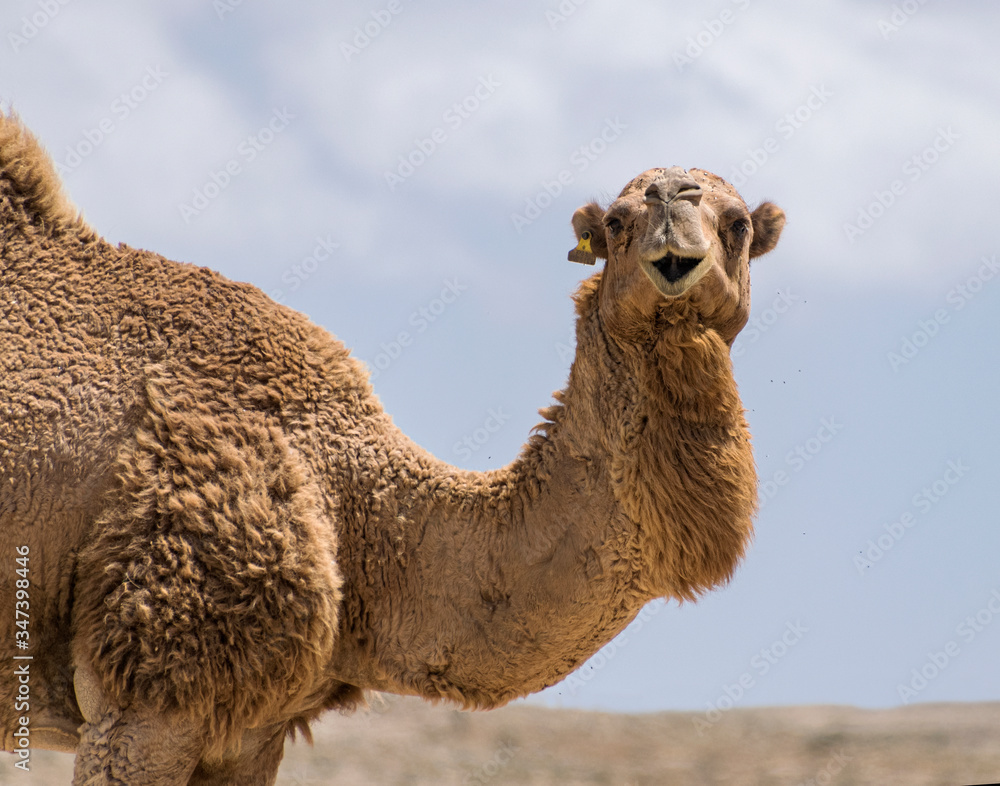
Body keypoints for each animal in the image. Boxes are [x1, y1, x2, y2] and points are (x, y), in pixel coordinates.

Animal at [0, 111, 785, 785]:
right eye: (617, 222)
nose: (672, 202)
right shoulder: (150, 685)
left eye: (739, 224)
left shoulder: (253, 728)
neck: (357, 505)